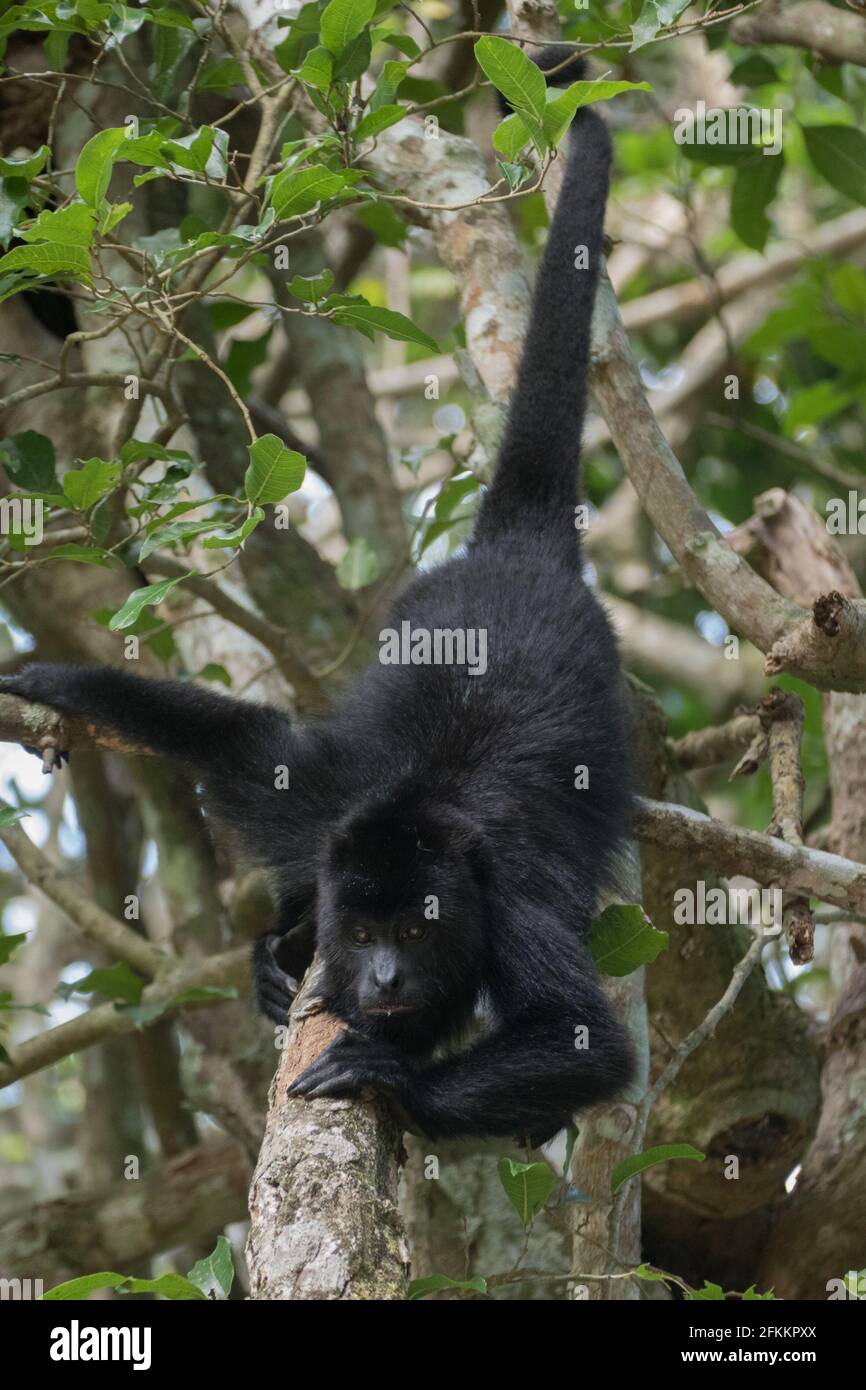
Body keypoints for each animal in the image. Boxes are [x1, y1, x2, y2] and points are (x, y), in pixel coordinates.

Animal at [0, 47, 635, 1144]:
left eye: (416, 929)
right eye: (369, 929)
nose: (379, 979)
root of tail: (515, 549)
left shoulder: (512, 900)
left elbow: (587, 1044)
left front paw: (394, 1076)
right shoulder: (324, 806)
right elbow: (240, 742)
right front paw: (49, 683)